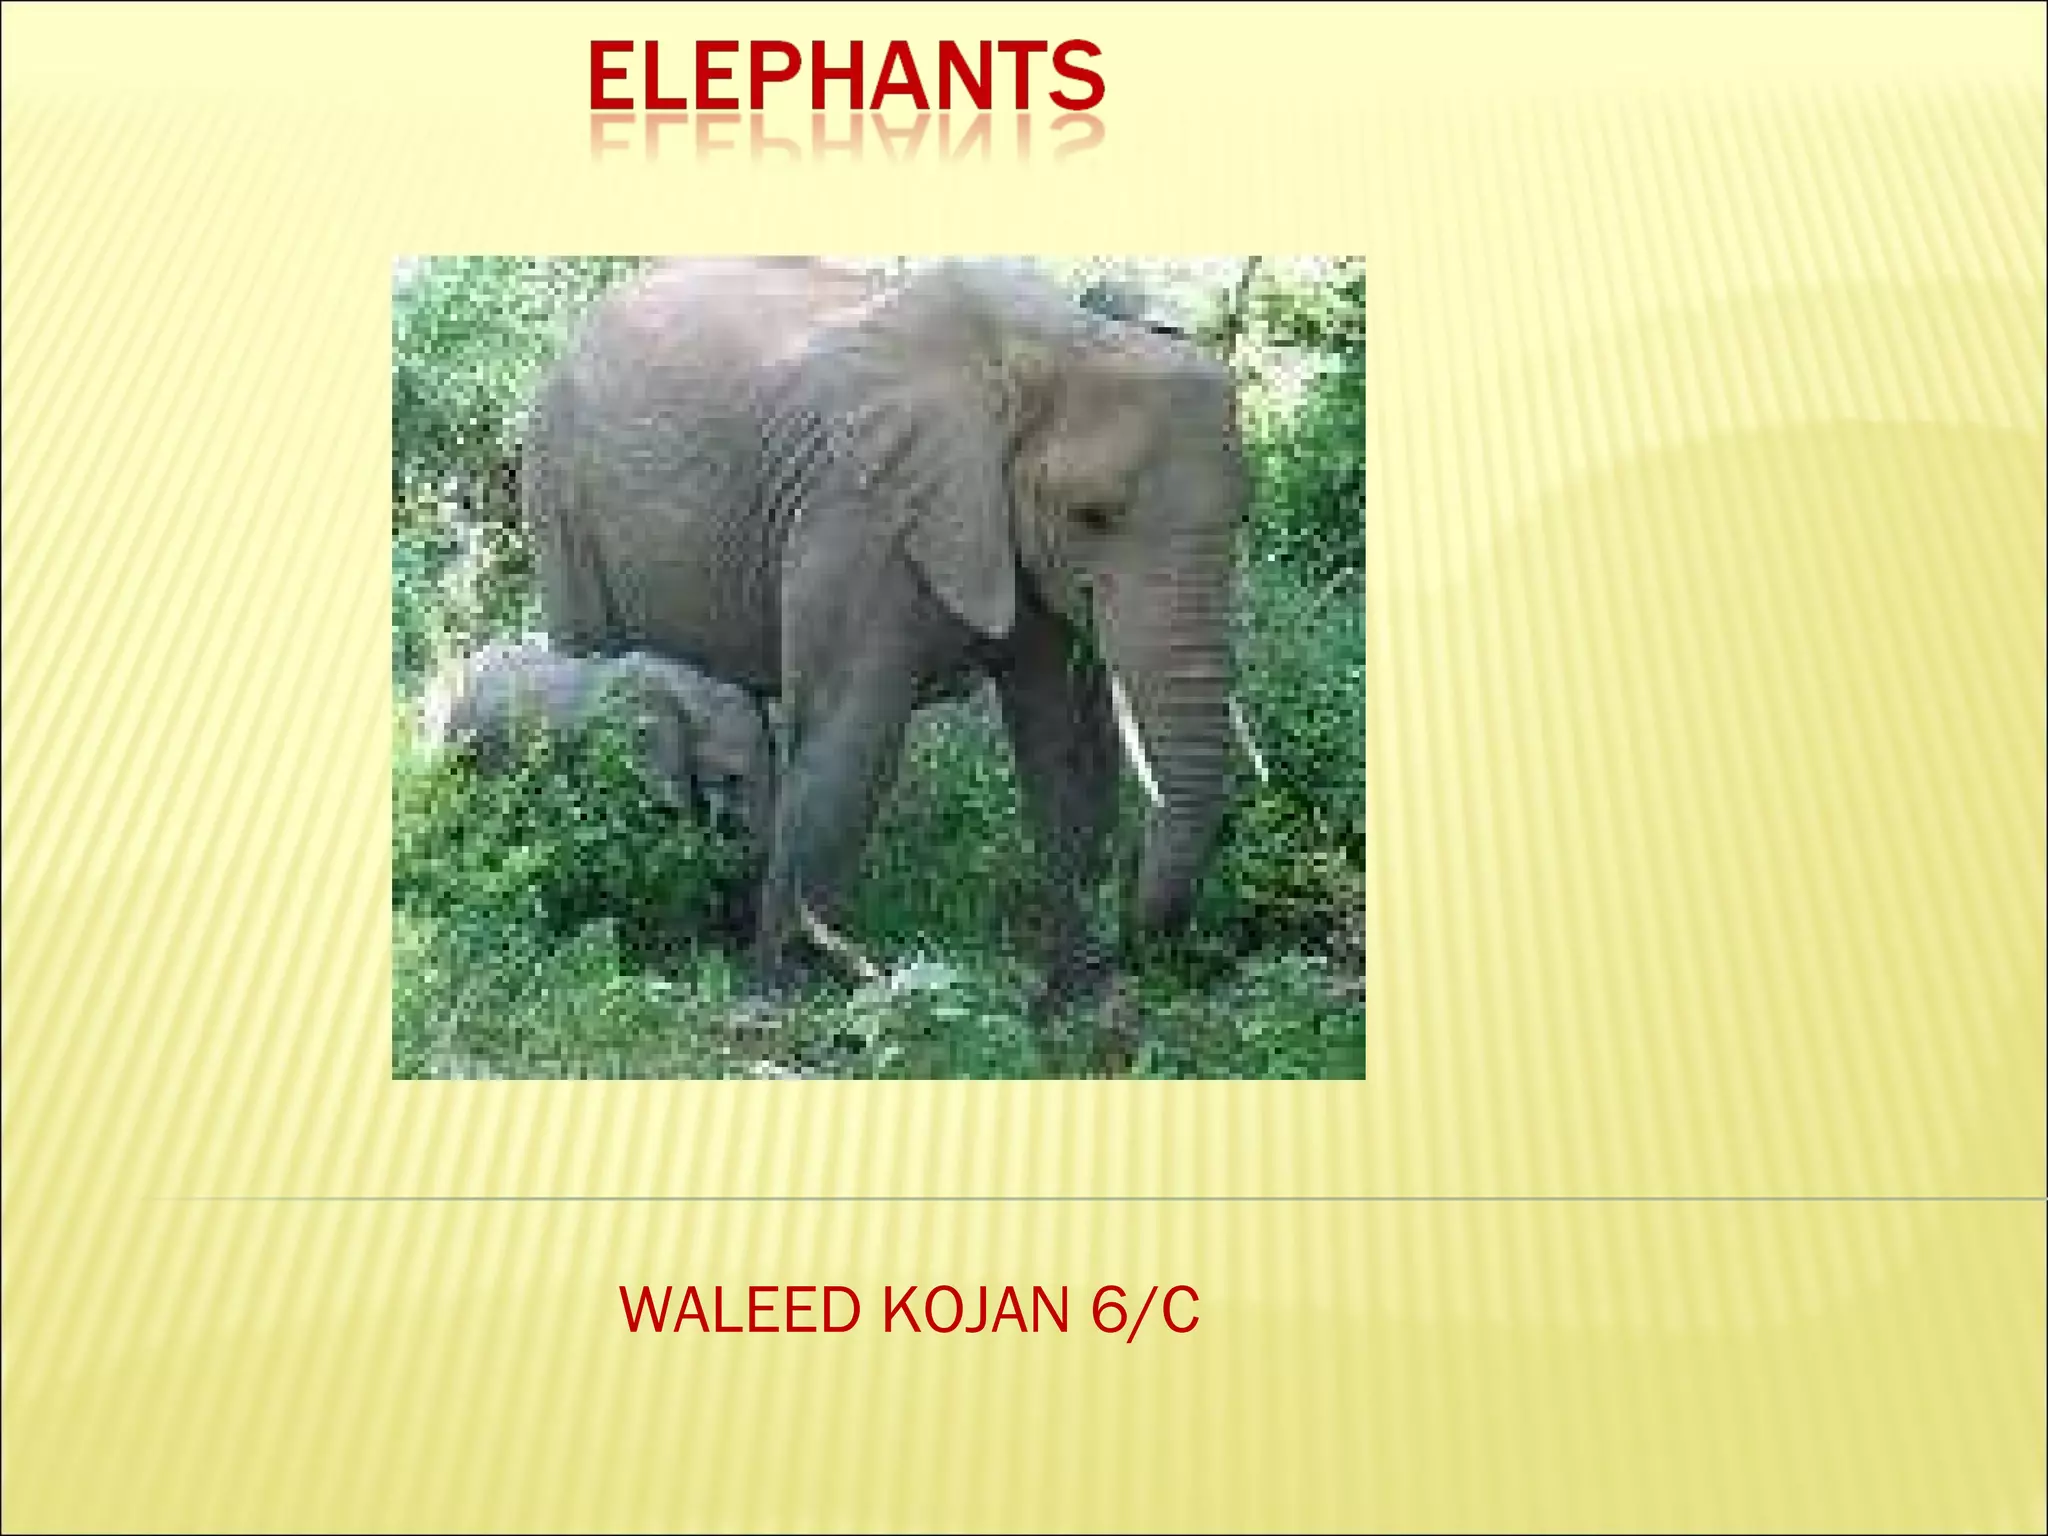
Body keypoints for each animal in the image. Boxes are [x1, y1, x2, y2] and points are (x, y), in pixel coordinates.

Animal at [521, 257, 1261, 1007]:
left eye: (1244, 516)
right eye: (1091, 516)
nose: (1141, 940)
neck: (1059, 343)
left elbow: (1066, 743)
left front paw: (1081, 1003)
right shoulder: (859, 513)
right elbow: (853, 737)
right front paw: (783, 998)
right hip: (560, 489)